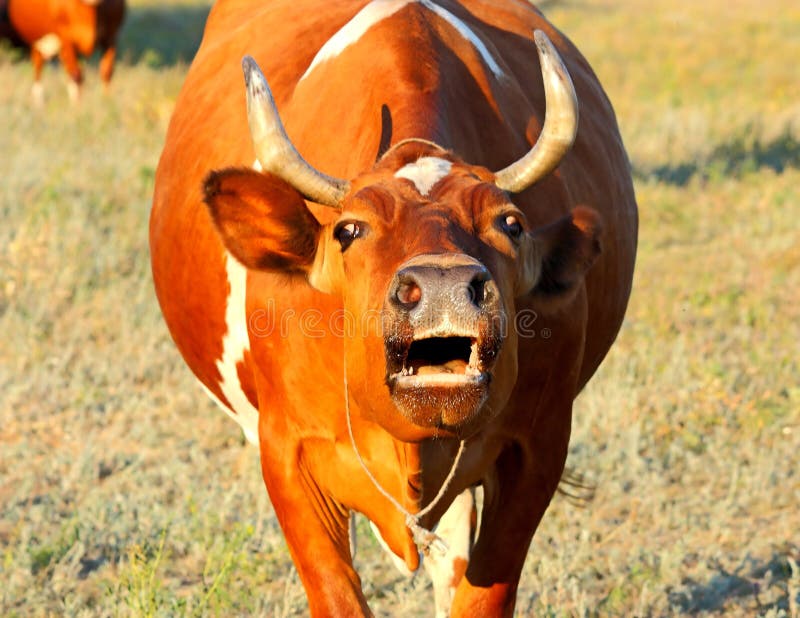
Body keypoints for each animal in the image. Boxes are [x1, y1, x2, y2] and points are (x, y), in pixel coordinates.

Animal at [150, 0, 638, 615]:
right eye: (349, 230)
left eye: (510, 223)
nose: (443, 284)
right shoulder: (286, 454)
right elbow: (337, 592)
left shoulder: (539, 446)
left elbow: (481, 592)